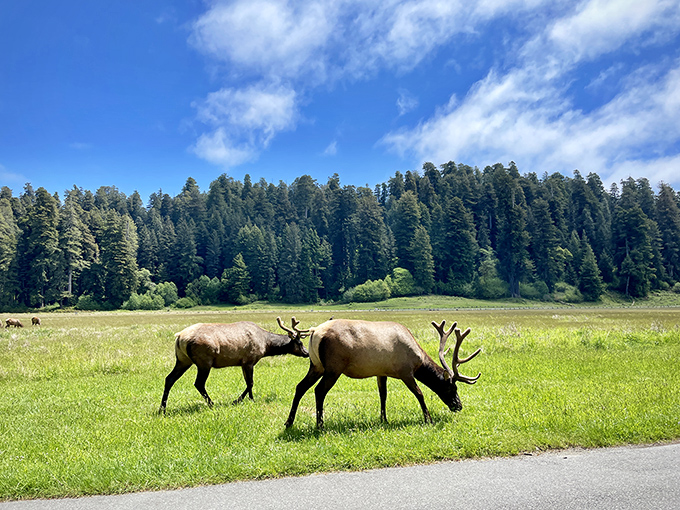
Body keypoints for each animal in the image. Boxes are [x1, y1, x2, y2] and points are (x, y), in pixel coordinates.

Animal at [159, 317, 310, 414]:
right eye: (300, 343)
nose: (307, 353)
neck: (266, 345)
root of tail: (179, 337)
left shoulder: (242, 363)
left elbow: (248, 382)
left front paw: (246, 399)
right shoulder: (249, 360)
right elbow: (251, 383)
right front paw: (241, 400)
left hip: (182, 360)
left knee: (169, 379)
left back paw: (162, 409)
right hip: (204, 361)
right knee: (198, 383)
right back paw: (212, 404)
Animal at [284, 319, 481, 429]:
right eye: (452, 388)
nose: (458, 406)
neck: (418, 360)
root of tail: (315, 332)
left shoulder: (381, 372)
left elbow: (383, 395)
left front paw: (383, 420)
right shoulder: (405, 371)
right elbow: (419, 394)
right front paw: (428, 419)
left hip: (316, 365)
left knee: (300, 387)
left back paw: (289, 423)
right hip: (333, 367)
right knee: (319, 390)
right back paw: (320, 425)